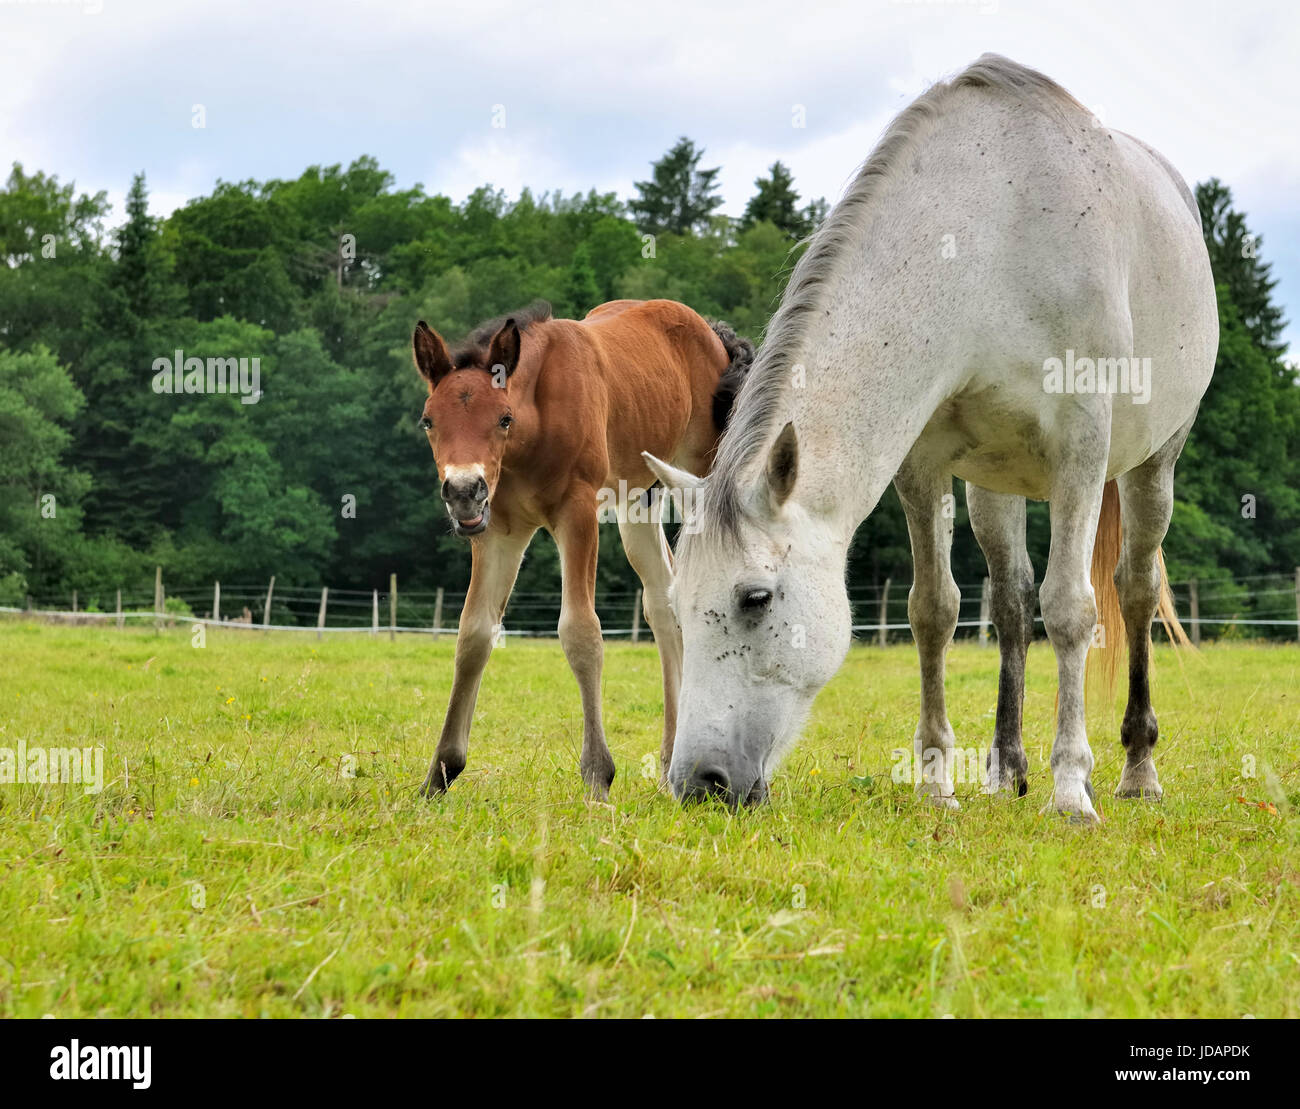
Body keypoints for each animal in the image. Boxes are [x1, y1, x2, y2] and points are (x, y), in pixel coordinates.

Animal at [412, 298, 753, 799]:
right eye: (429, 420)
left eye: (503, 418)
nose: (462, 492)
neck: (534, 424)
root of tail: (714, 333)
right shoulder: (498, 532)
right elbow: (473, 634)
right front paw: (440, 774)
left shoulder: (578, 515)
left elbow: (581, 632)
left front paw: (597, 775)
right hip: (640, 500)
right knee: (663, 601)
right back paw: (670, 765)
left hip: (699, 482)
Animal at [644, 55, 1217, 823]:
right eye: (677, 606)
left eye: (756, 598)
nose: (698, 783)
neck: (995, 235)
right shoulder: (924, 467)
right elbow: (933, 609)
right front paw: (937, 781)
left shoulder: (1081, 452)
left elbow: (1071, 610)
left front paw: (1072, 789)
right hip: (993, 485)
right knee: (1011, 604)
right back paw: (1005, 769)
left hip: (1151, 466)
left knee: (1133, 589)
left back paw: (1135, 768)